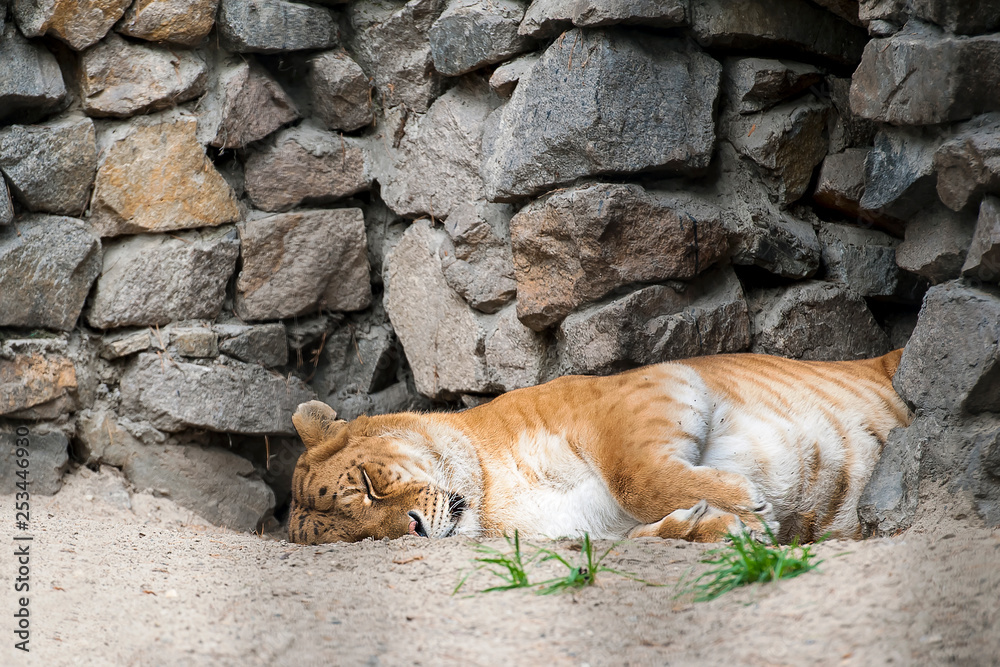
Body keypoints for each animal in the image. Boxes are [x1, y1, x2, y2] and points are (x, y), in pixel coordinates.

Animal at [287, 350, 911, 545]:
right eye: (365, 539)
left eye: (369, 486)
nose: (416, 530)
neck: (495, 502)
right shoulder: (582, 531)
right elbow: (638, 532)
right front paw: (717, 525)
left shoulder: (648, 386)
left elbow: (634, 477)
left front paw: (744, 502)